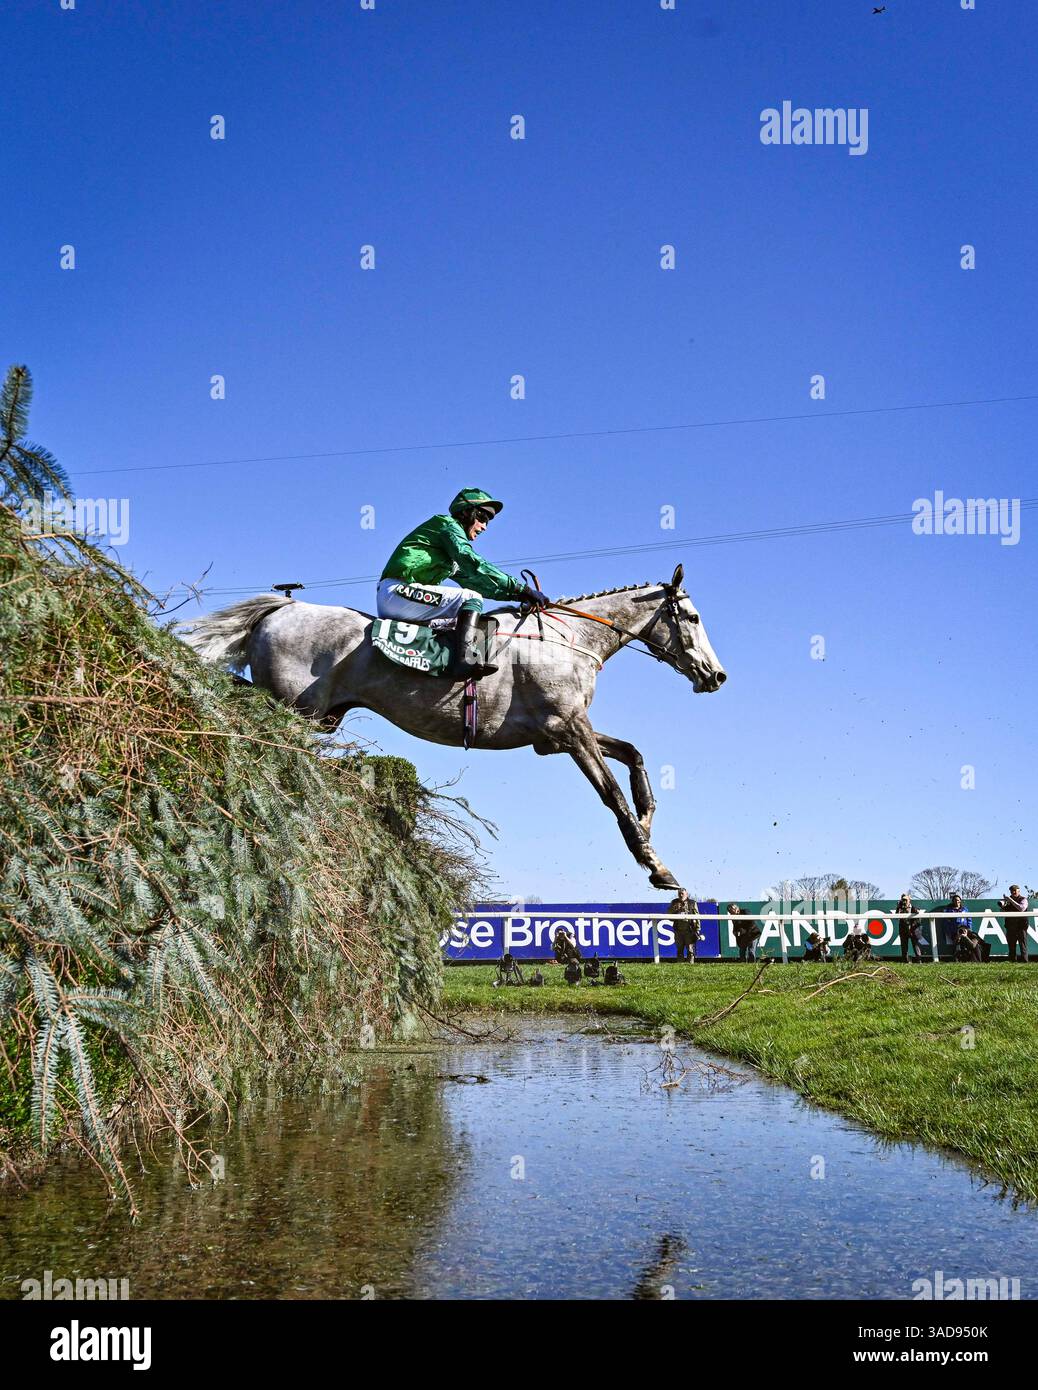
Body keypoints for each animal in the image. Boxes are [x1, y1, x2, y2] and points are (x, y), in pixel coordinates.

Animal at [181, 564, 726, 889]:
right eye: (693, 618)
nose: (716, 675)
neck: (569, 639)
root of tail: (285, 607)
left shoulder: (553, 738)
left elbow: (633, 755)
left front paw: (648, 823)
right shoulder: (569, 729)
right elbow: (611, 794)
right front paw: (657, 867)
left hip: (314, 715)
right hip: (294, 709)